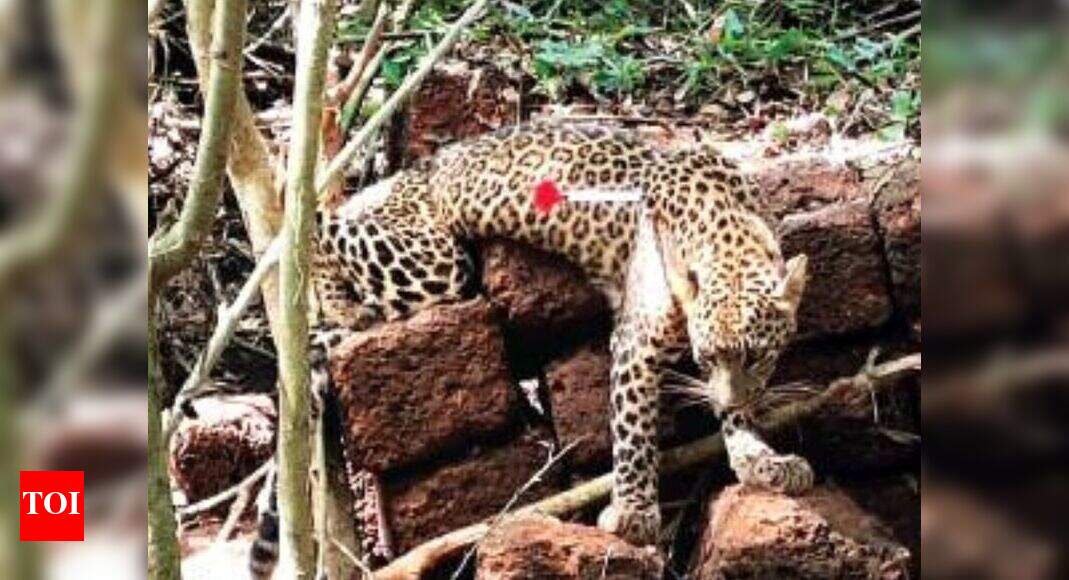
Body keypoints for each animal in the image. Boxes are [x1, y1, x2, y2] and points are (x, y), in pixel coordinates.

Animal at [250, 121, 814, 578]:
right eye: (707, 357)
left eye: (758, 356)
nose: (728, 398)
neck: (729, 230)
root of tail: (392, 181)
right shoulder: (637, 338)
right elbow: (635, 430)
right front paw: (633, 513)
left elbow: (737, 412)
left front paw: (758, 458)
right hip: (433, 259)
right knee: (317, 222)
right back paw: (314, 248)